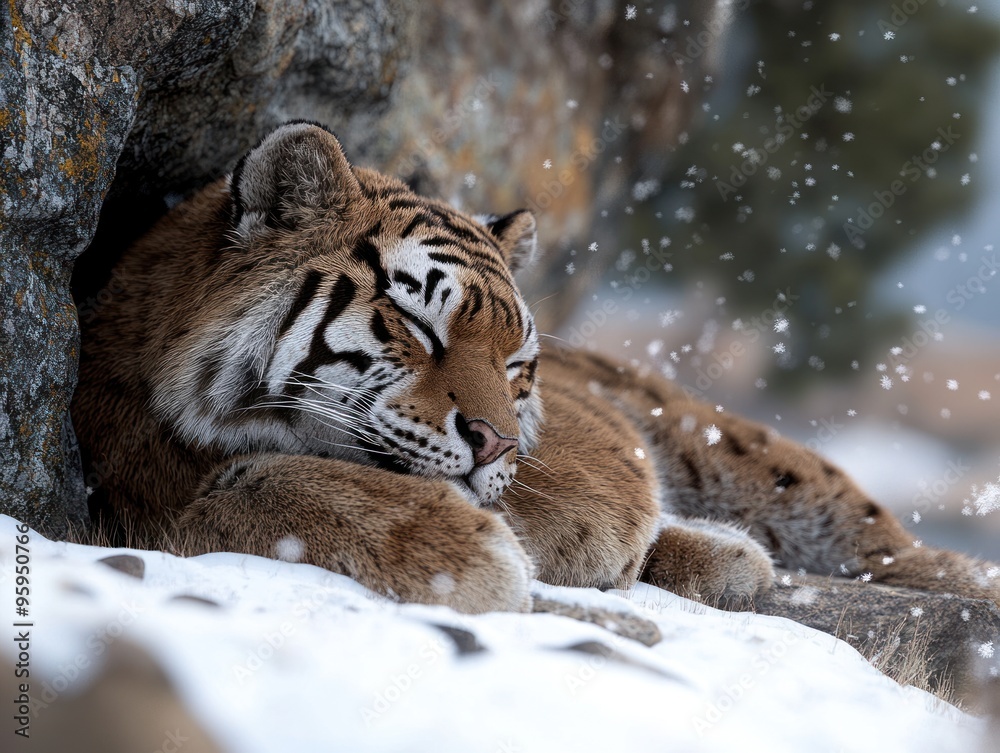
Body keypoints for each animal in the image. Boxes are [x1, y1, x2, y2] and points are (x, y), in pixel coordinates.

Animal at [72, 122, 1000, 614]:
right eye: (418, 321)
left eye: (516, 360)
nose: (498, 443)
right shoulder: (140, 485)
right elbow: (255, 489)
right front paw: (460, 548)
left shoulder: (598, 449)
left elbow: (585, 518)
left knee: (873, 532)